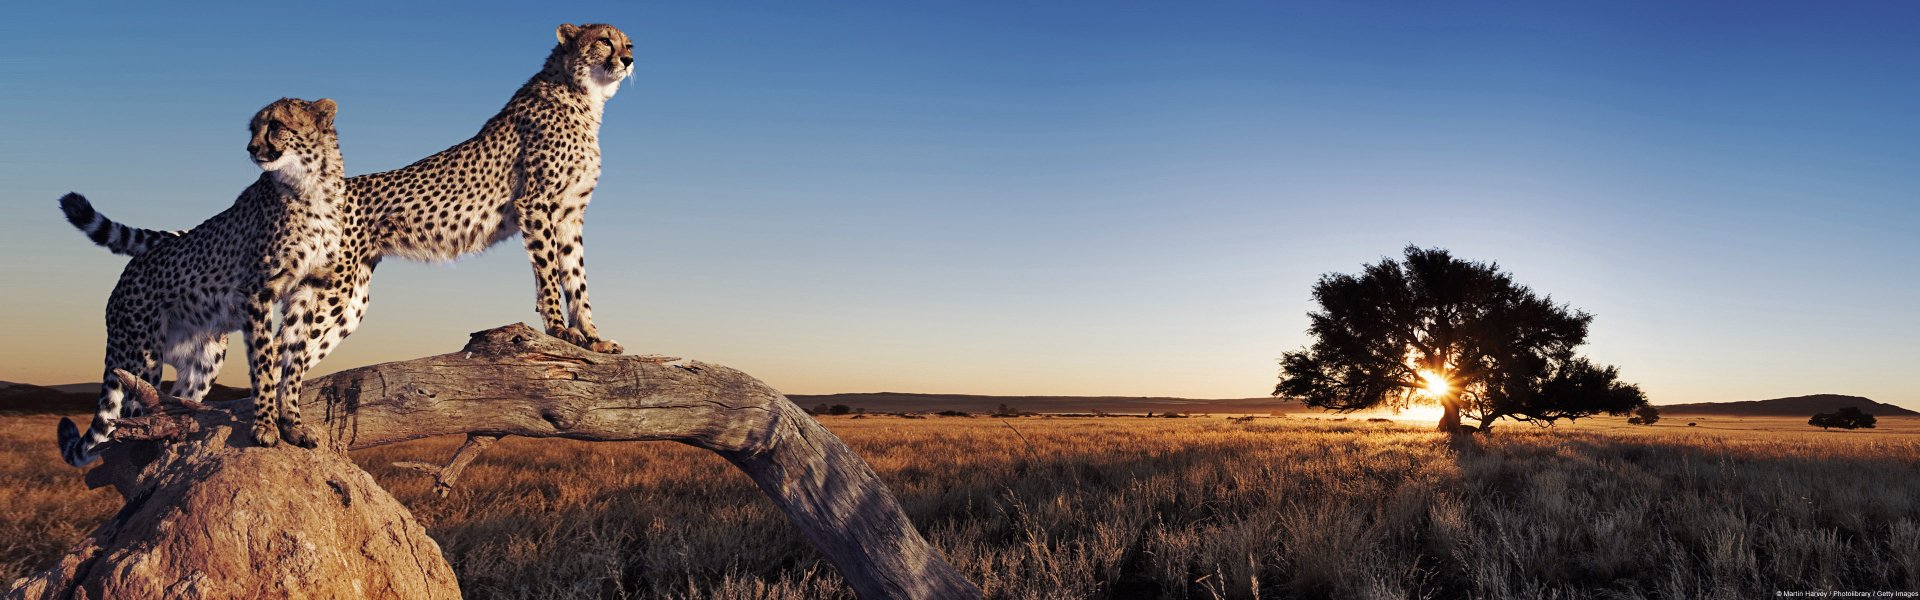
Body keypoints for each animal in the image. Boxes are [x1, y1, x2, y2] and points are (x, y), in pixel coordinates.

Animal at [56, 98, 349, 466]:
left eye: (276, 125)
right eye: (253, 128)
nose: (251, 148)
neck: (310, 184)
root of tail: (126, 274)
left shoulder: (306, 290)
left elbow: (293, 364)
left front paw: (293, 425)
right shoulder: (258, 291)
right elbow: (264, 363)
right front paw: (265, 426)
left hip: (205, 358)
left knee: (176, 399)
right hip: (143, 355)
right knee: (135, 411)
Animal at [66, 23, 637, 356]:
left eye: (628, 41)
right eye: (604, 40)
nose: (631, 58)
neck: (584, 95)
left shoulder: (569, 216)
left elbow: (577, 278)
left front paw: (592, 336)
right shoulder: (536, 206)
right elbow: (550, 277)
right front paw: (562, 332)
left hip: (345, 296)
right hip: (334, 291)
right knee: (281, 346)